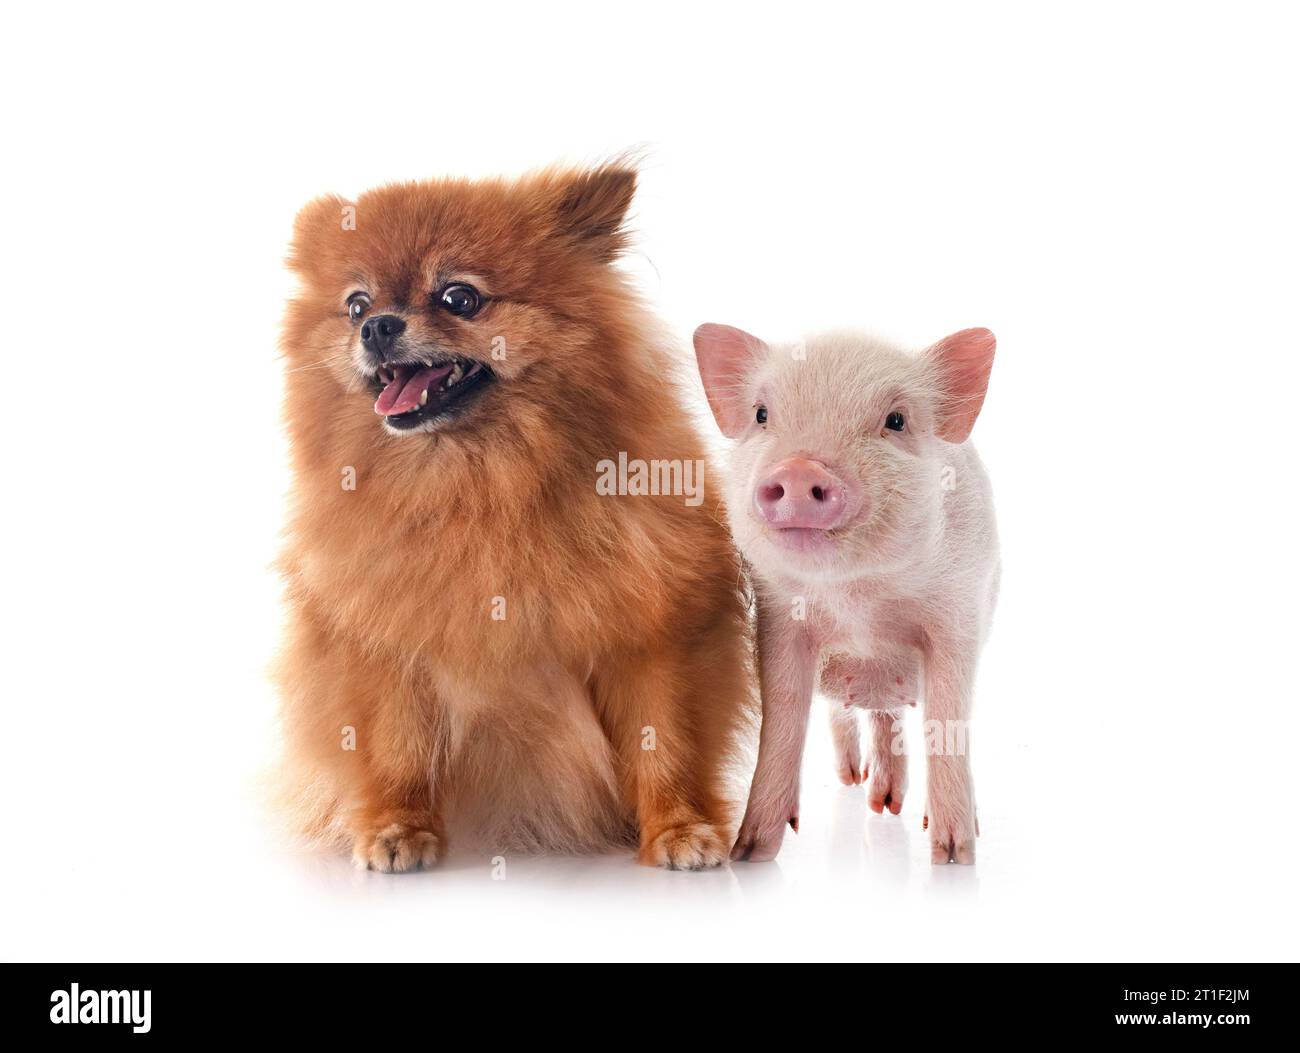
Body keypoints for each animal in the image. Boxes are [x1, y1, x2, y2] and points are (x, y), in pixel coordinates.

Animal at [693, 324, 999, 864]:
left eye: (896, 420)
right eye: (761, 414)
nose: (799, 469)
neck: (858, 602)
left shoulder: (959, 609)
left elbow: (947, 717)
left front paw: (954, 856)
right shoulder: (778, 617)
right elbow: (782, 712)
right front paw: (749, 853)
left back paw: (891, 809)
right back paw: (859, 788)